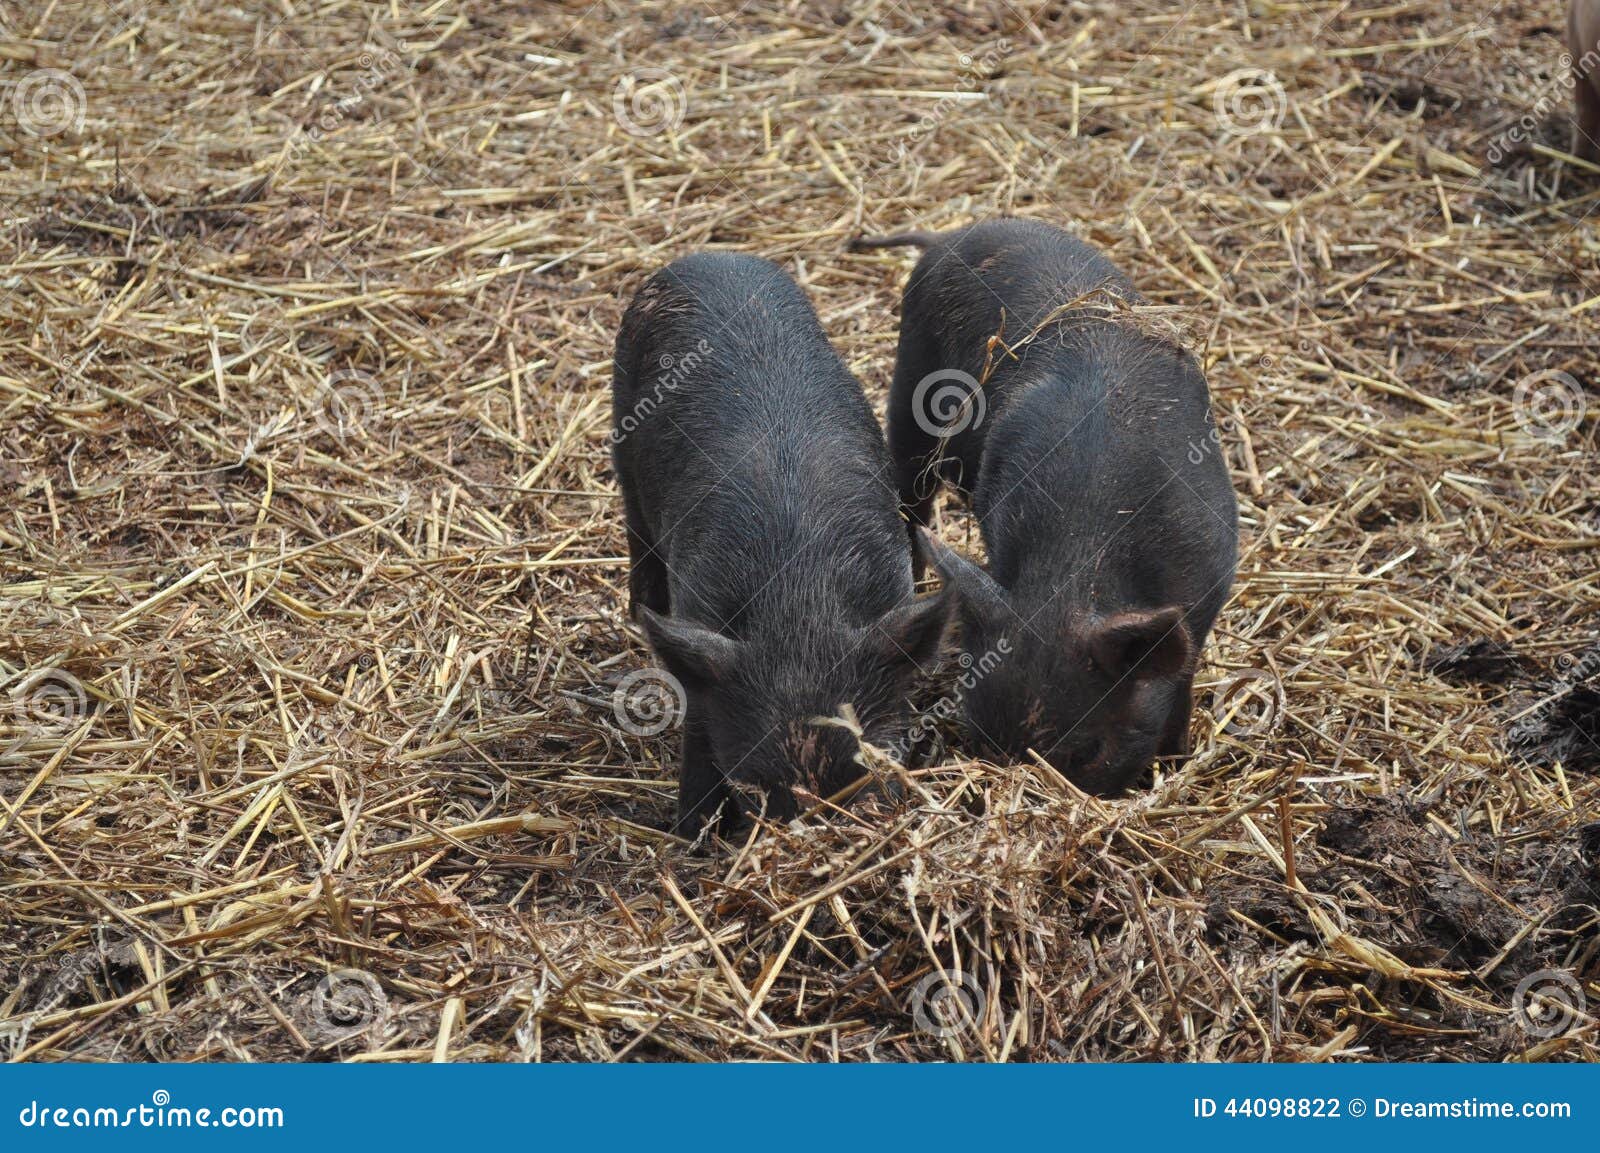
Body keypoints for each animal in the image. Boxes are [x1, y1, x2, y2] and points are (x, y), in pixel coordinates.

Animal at [854, 219, 1238, 794]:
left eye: (1089, 751)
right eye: (978, 734)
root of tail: (946, 238)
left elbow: (1184, 677)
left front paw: (1177, 759)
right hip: (910, 389)